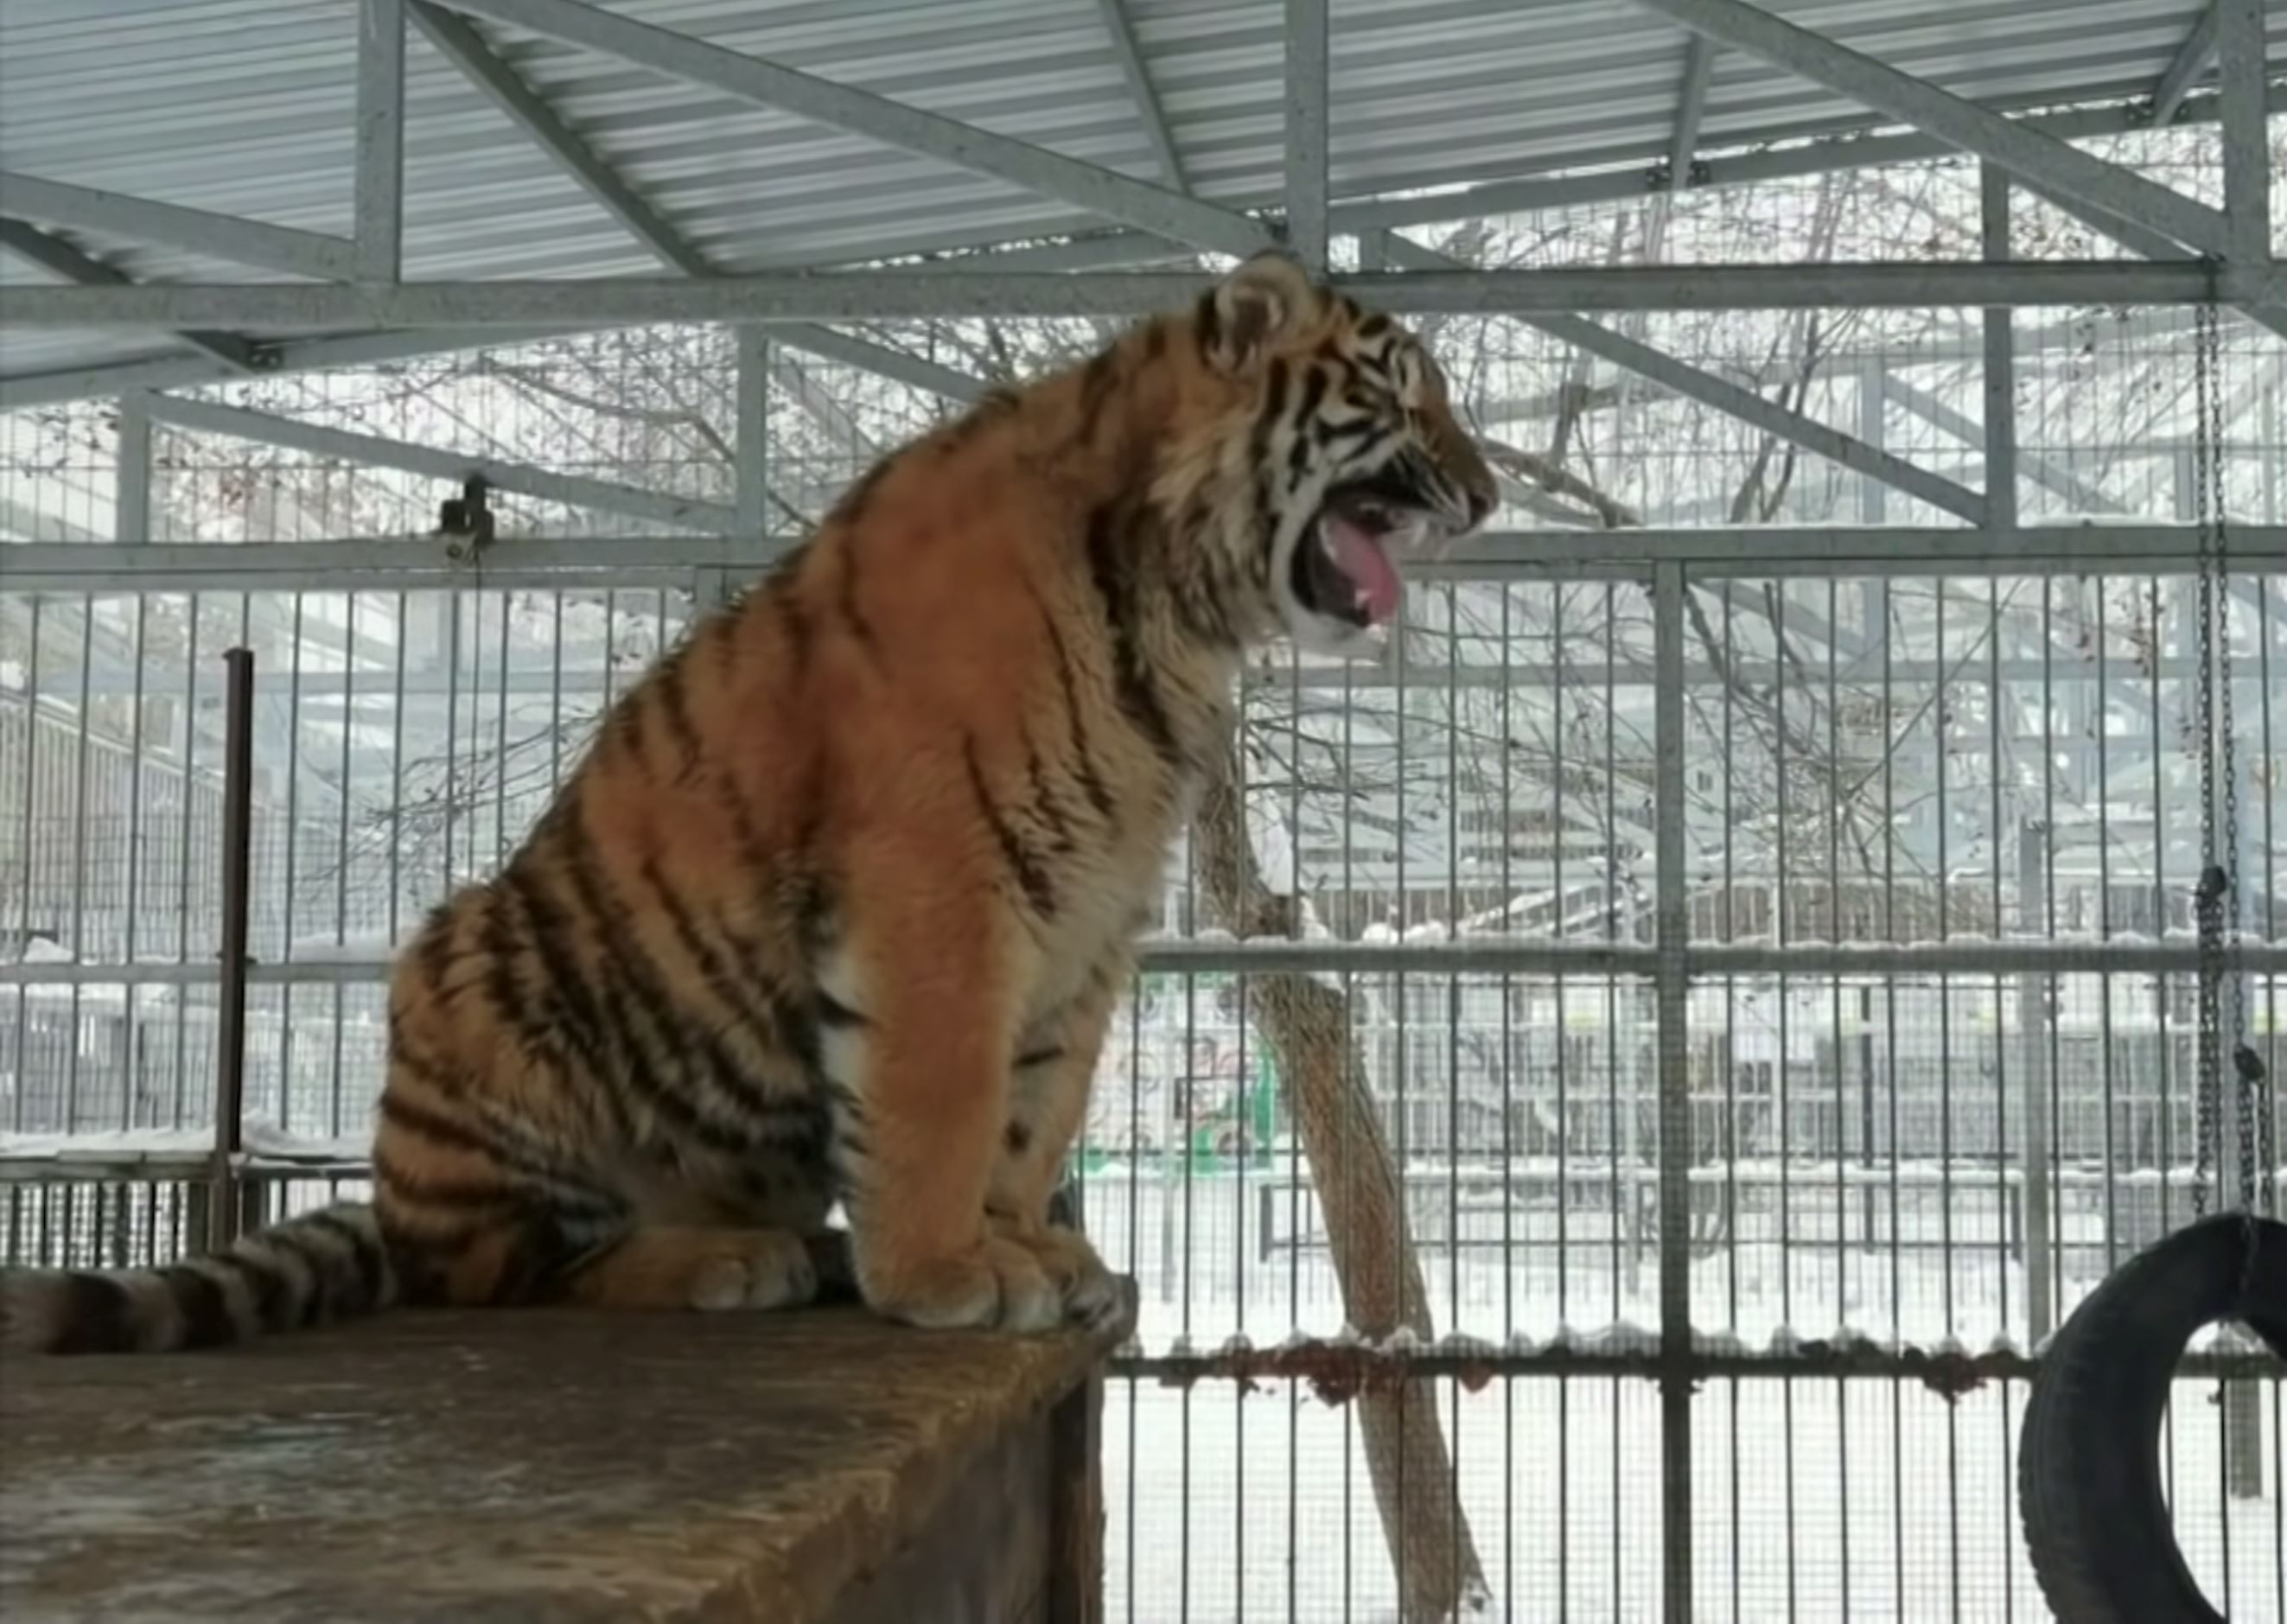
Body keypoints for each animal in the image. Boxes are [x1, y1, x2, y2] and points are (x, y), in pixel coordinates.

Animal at [0, 249, 1497, 1354]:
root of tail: (390, 1187)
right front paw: (947, 1268)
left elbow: (1035, 1106)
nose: (1484, 494)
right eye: (1398, 390)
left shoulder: (1092, 907)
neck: (1179, 607)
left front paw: (1029, 1240)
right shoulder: (943, 875)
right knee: (498, 1266)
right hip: (472, 979)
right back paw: (732, 1256)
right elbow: (944, 1093)